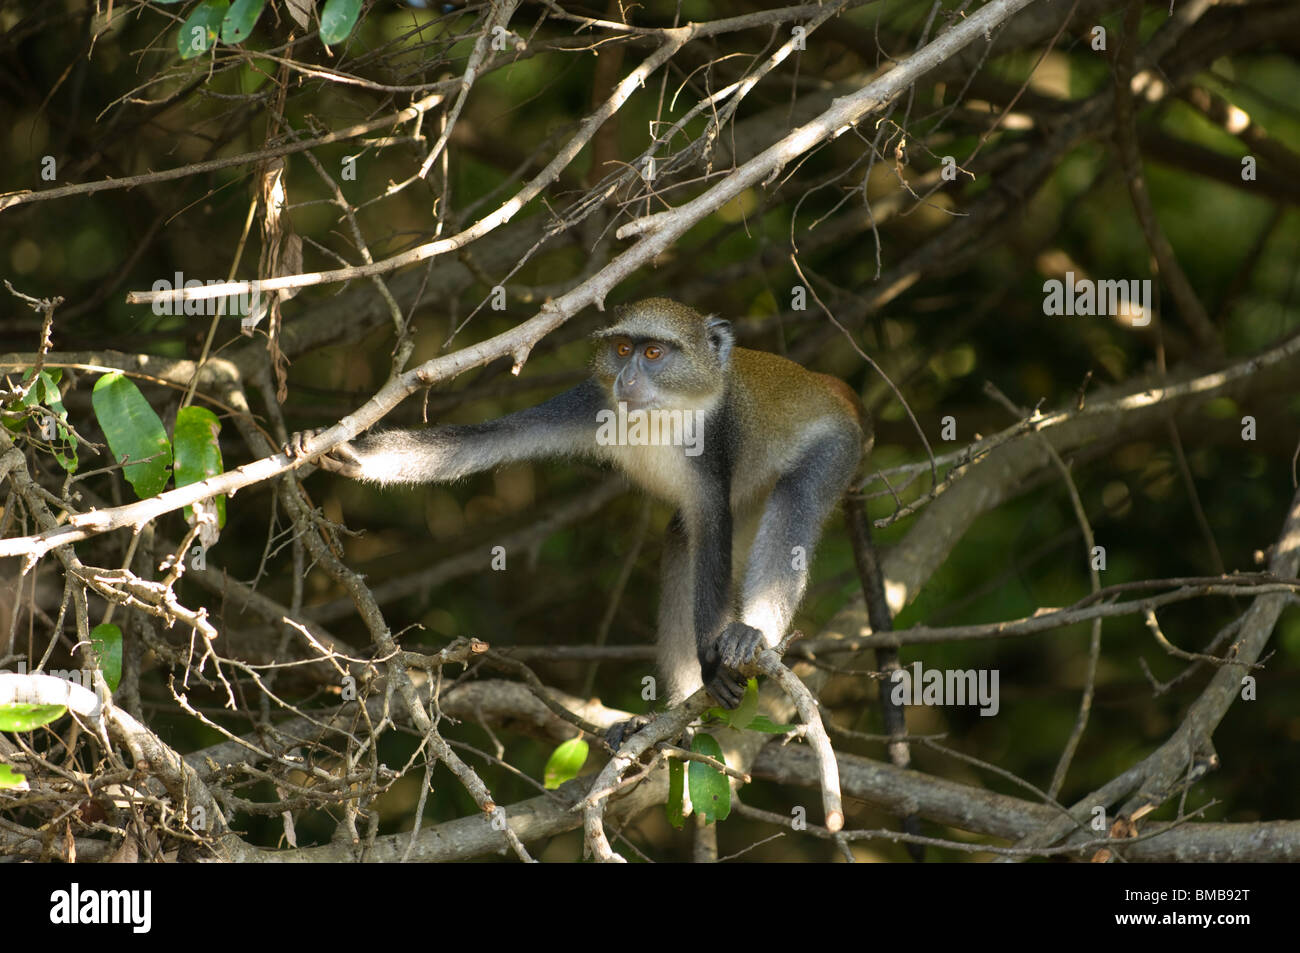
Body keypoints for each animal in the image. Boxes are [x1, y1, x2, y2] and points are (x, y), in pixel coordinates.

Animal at [287, 298, 867, 714]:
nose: (628, 378)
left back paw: (750, 636)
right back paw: (672, 718)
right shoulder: (591, 401)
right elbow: (479, 443)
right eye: (624, 349)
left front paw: (714, 664)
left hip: (837, 447)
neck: (663, 412)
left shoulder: (713, 448)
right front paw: (349, 454)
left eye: (654, 354)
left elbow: (713, 533)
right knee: (681, 541)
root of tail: (833, 389)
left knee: (793, 504)